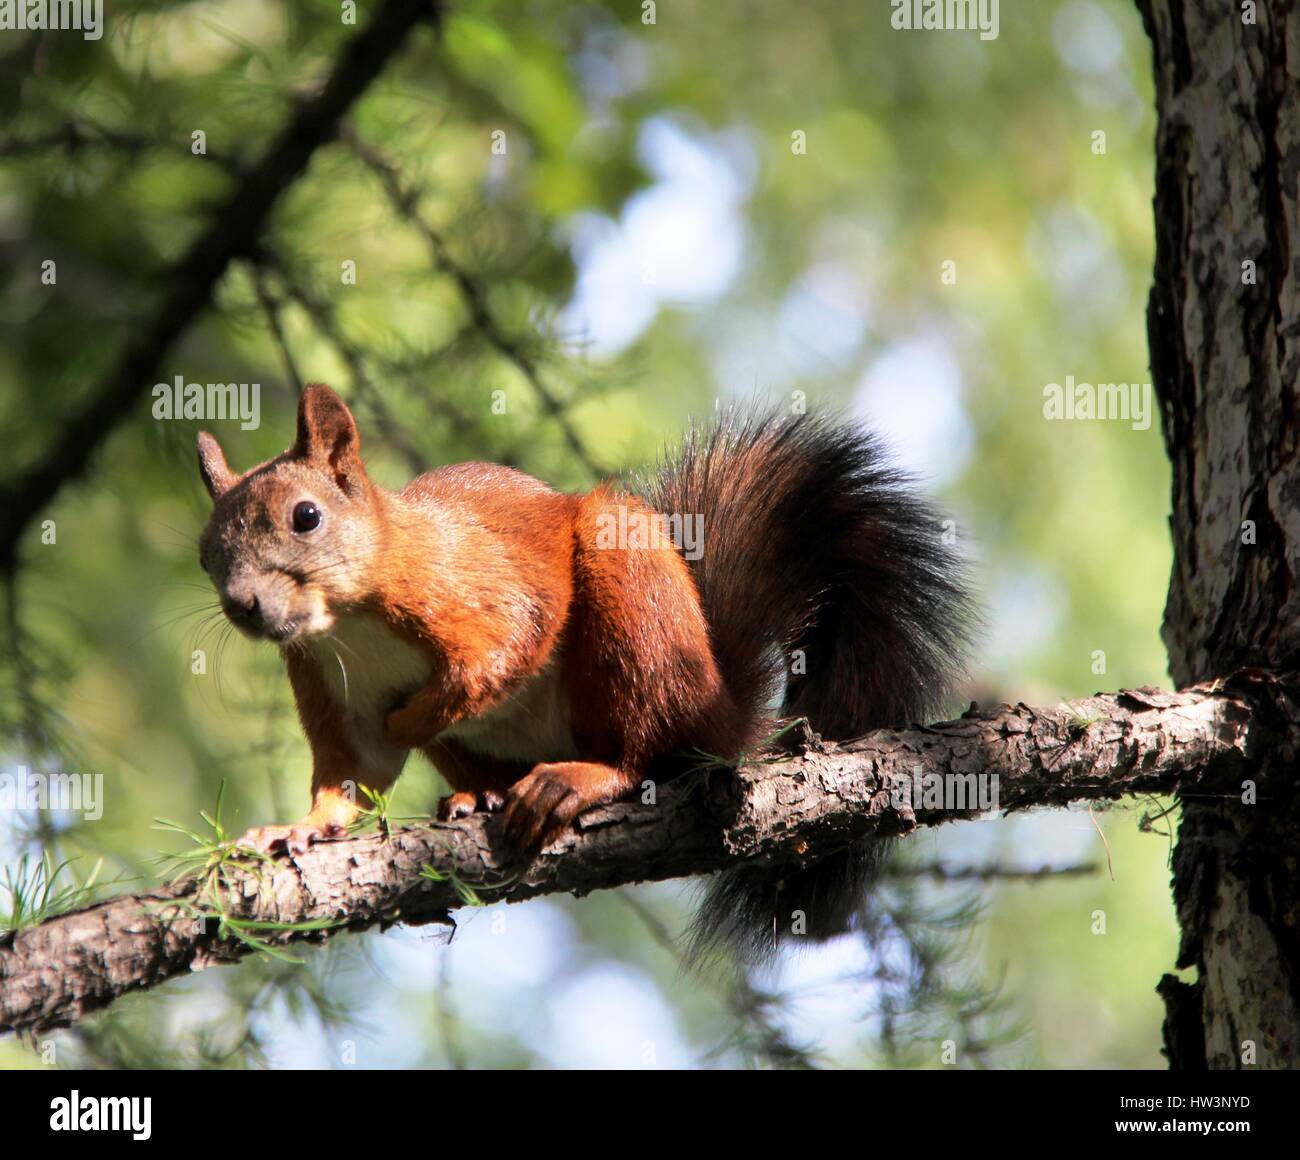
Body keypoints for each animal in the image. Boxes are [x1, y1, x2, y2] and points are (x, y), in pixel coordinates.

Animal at [197, 383, 972, 962]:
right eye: (206, 553)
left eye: (306, 516)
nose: (244, 605)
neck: (347, 619)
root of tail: (722, 710)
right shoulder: (327, 685)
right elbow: (352, 775)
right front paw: (295, 830)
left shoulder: (482, 593)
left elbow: (496, 659)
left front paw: (412, 716)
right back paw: (478, 796)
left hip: (632, 612)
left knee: (647, 754)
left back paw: (579, 779)